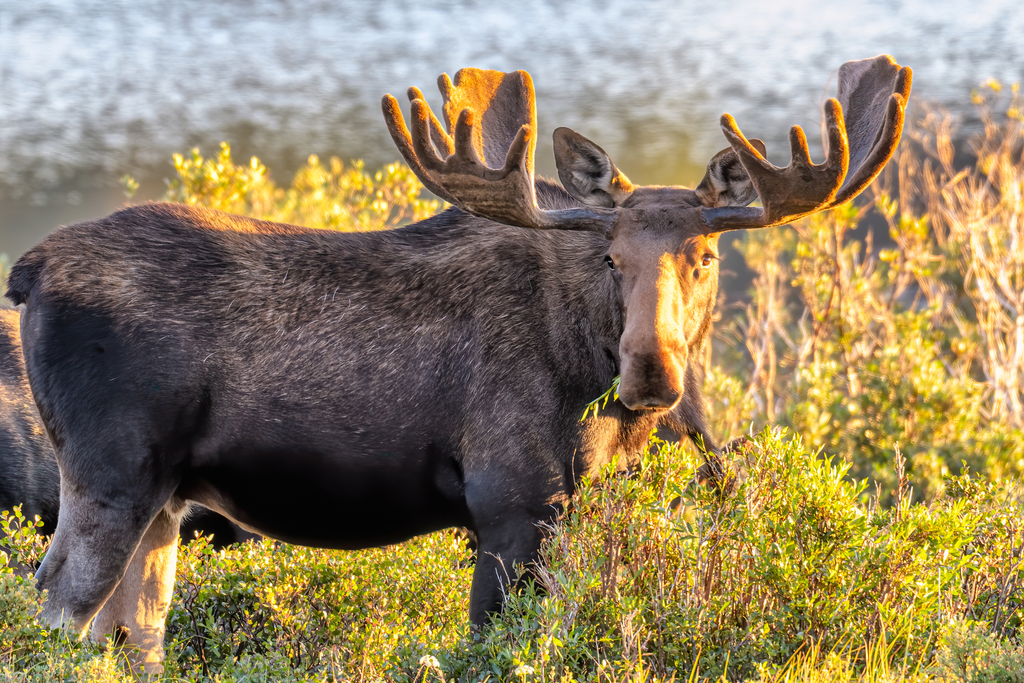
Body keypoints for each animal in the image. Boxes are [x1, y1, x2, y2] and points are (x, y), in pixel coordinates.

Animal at [4, 55, 910, 672]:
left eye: (707, 257)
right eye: (610, 256)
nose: (650, 371)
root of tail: (29, 269)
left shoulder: (570, 516)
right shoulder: (511, 504)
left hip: (165, 500)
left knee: (132, 634)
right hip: (108, 475)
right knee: (51, 610)